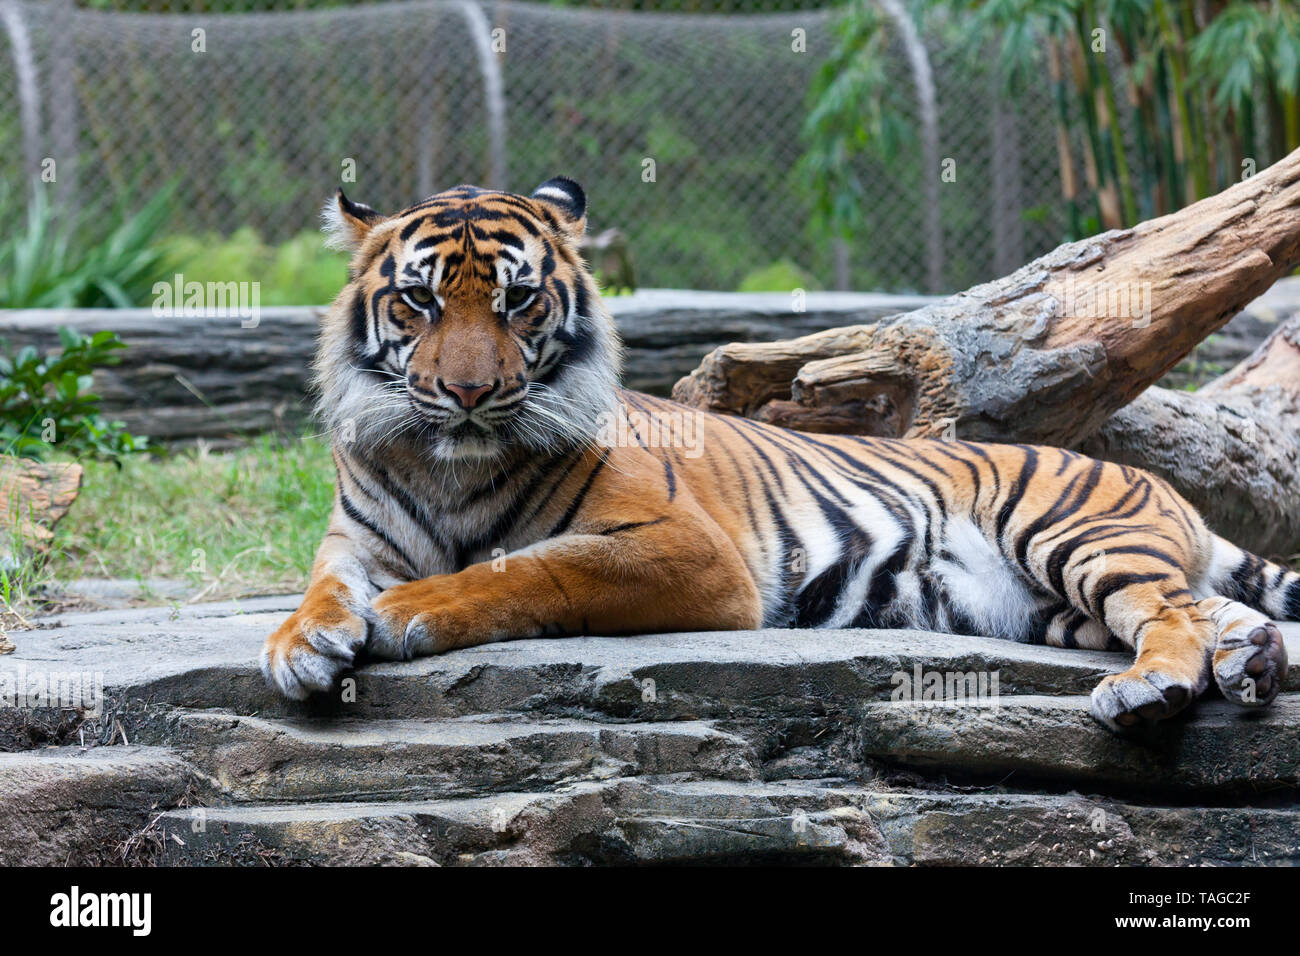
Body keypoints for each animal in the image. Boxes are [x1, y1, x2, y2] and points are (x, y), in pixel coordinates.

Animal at [261, 176, 1297, 732]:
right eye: (419, 302)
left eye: (518, 301)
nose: (469, 393)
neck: (444, 461)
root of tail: (1160, 486)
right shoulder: (353, 542)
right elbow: (321, 588)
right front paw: (300, 645)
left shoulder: (687, 550)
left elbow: (528, 570)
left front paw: (410, 611)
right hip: (1047, 606)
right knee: (1203, 609)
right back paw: (1247, 662)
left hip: (1070, 534)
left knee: (1169, 616)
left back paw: (1153, 688)